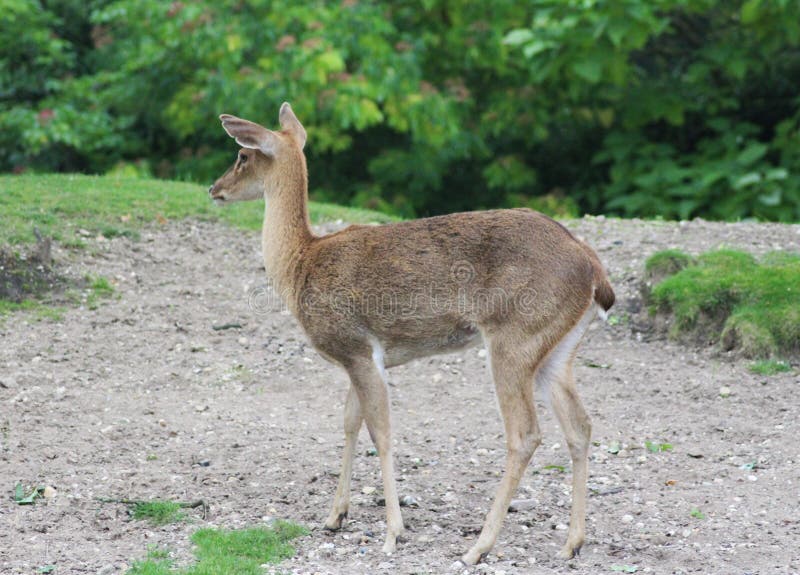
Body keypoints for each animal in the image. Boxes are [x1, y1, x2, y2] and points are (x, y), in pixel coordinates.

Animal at [207, 102, 615, 565]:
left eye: (242, 155)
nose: (214, 188)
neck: (300, 266)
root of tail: (596, 274)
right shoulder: (363, 357)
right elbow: (350, 422)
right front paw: (335, 516)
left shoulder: (355, 347)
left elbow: (381, 433)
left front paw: (392, 533)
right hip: (558, 349)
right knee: (580, 426)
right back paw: (572, 543)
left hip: (516, 337)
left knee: (525, 433)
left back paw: (478, 547)